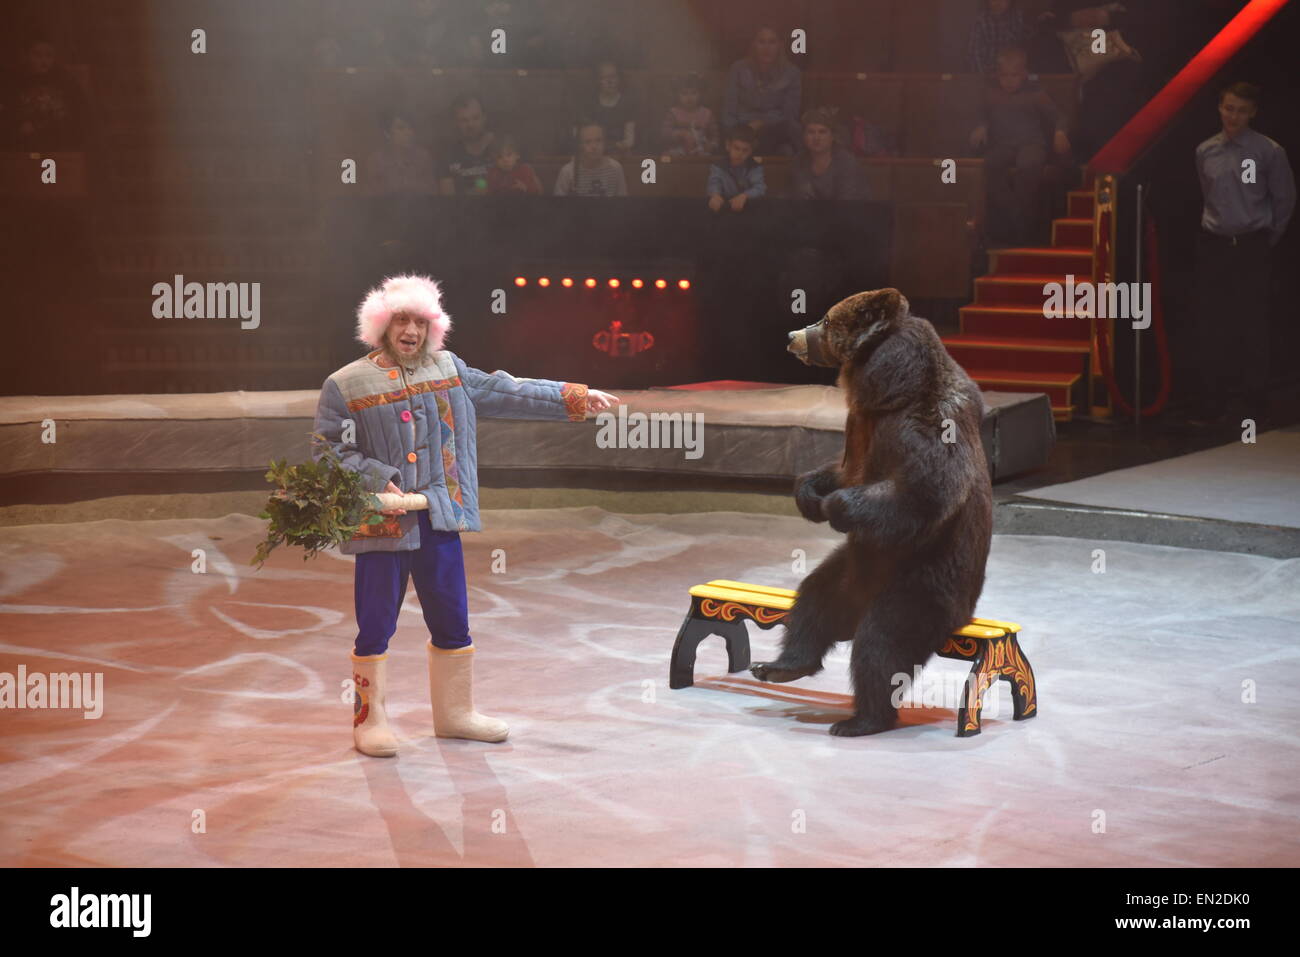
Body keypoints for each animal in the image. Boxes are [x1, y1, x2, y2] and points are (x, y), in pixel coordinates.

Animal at [750, 287, 993, 736]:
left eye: (826, 320)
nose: (793, 334)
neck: (889, 392)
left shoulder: (926, 427)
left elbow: (922, 493)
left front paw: (837, 505)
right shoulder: (859, 427)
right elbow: (842, 471)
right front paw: (810, 493)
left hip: (923, 584)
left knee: (881, 642)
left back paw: (861, 718)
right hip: (851, 569)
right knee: (816, 597)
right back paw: (781, 665)